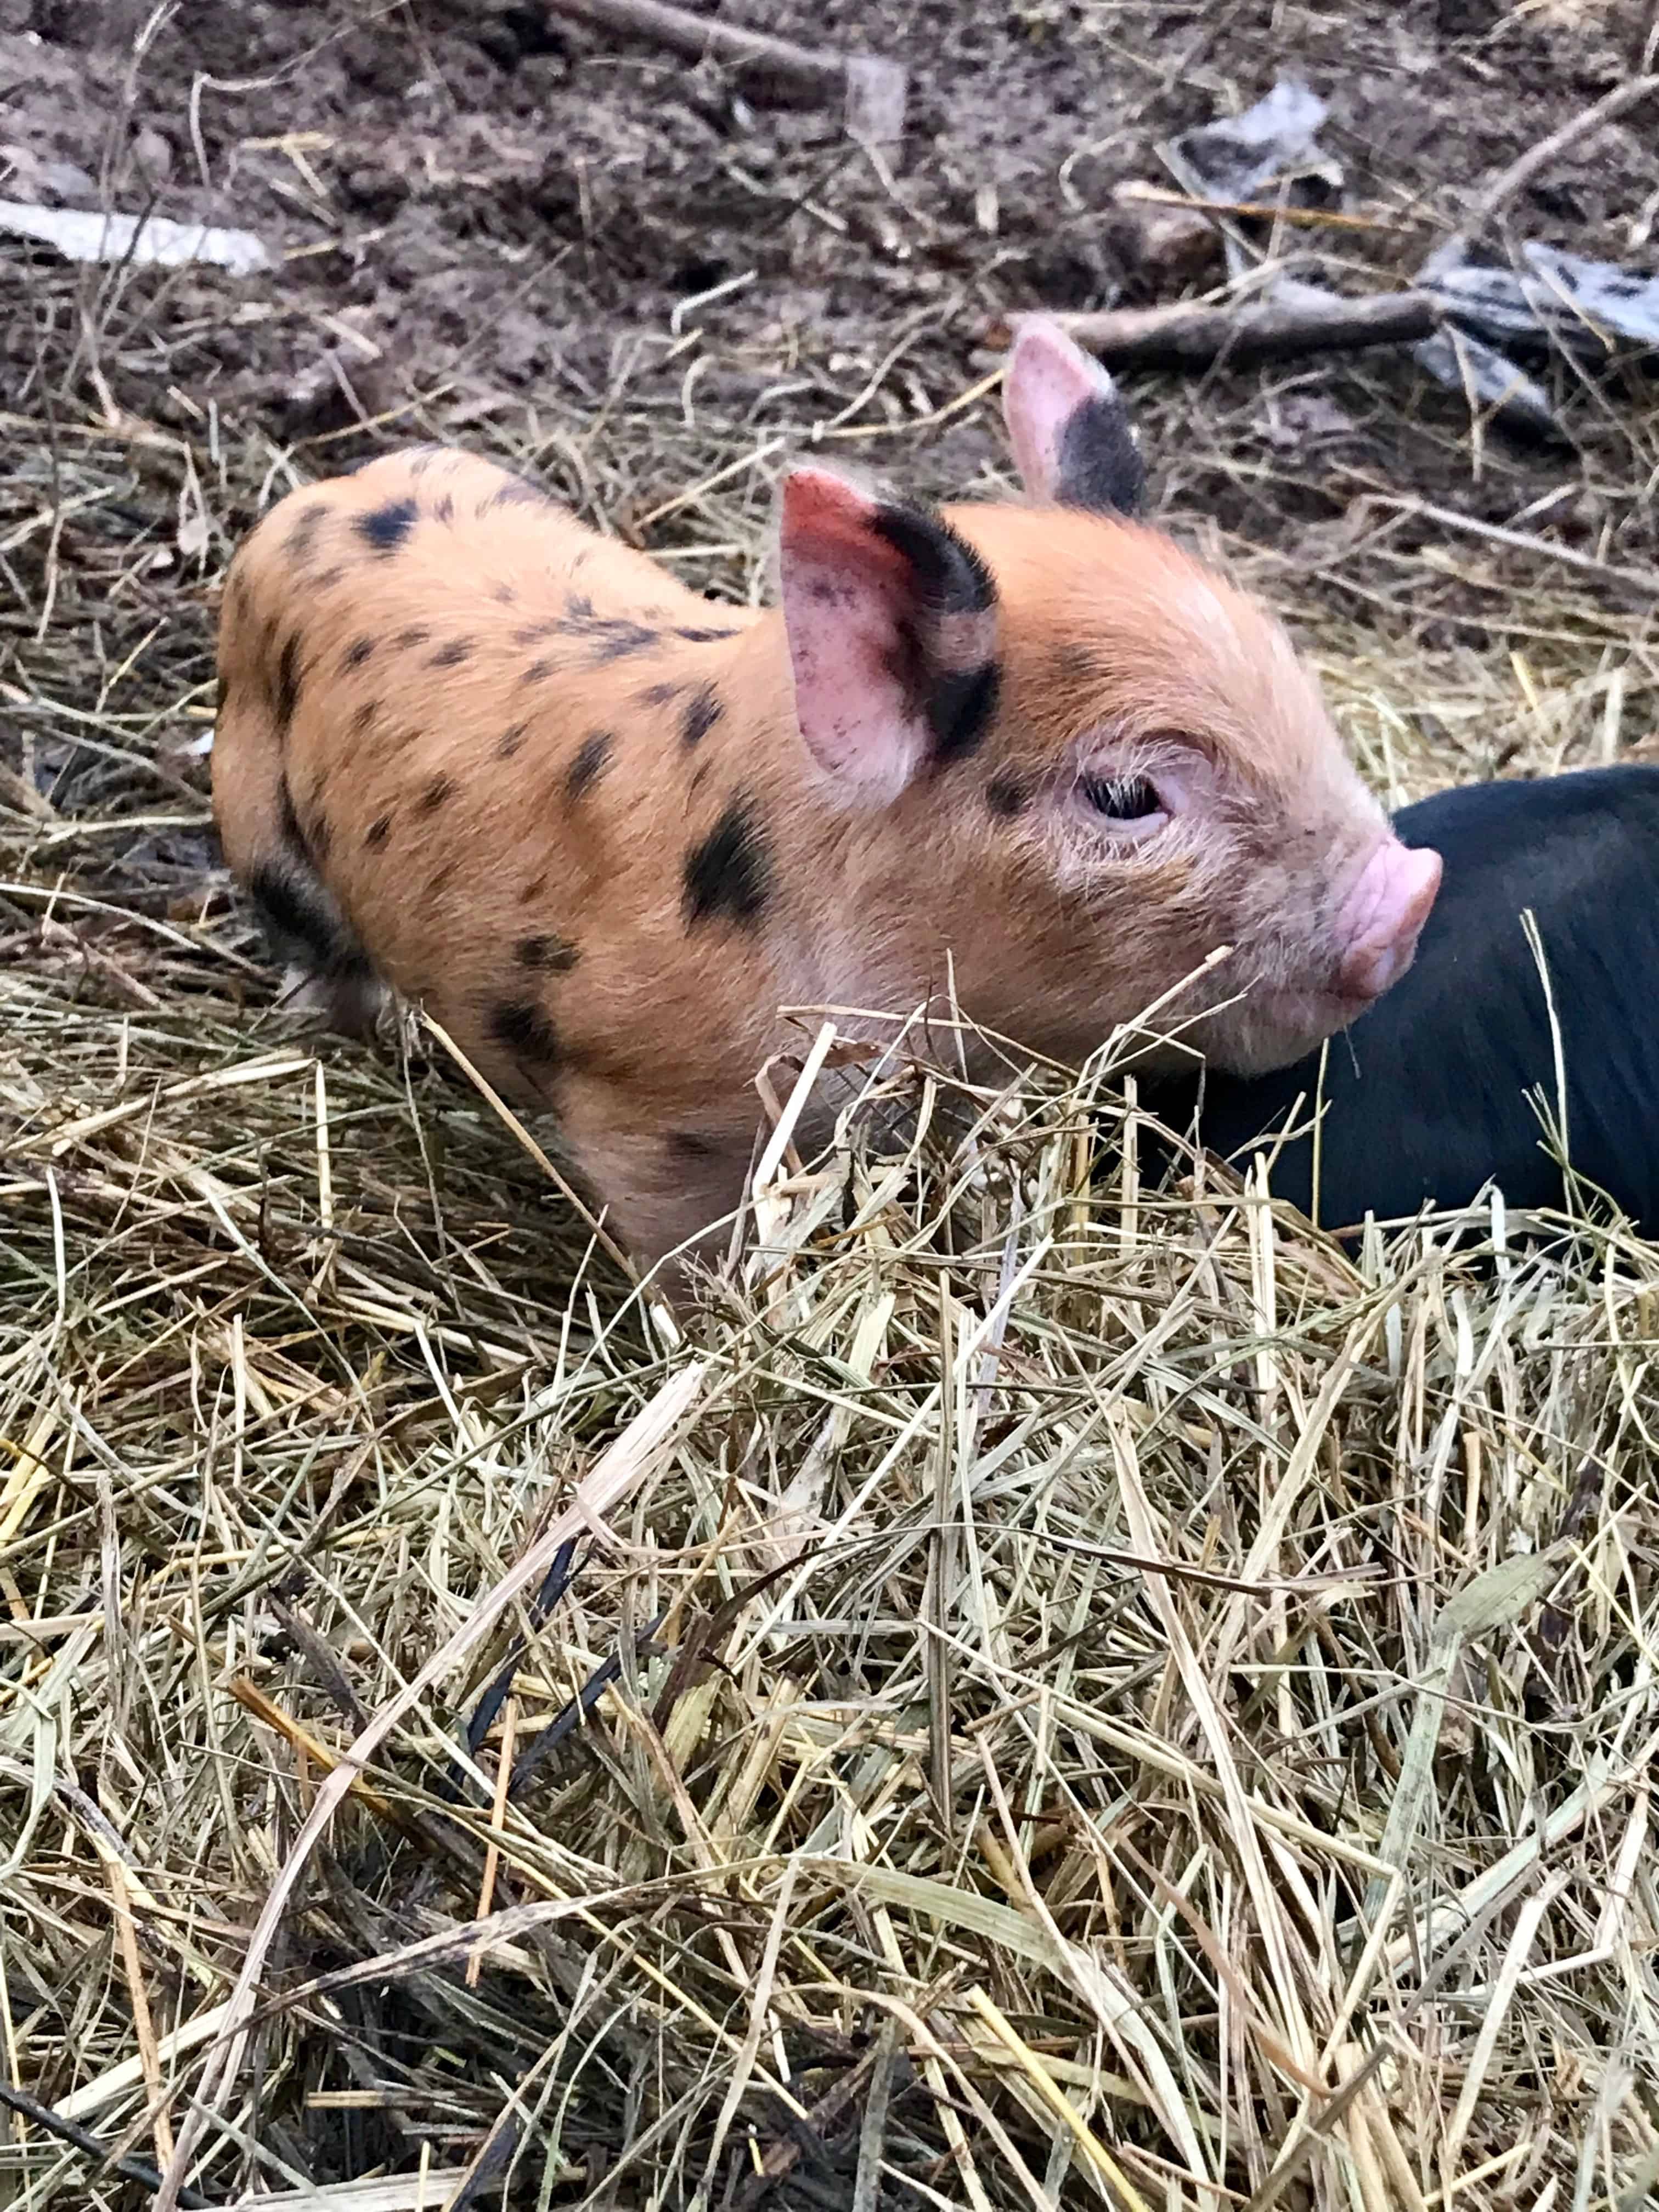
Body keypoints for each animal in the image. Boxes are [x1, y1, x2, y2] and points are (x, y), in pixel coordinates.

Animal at [211, 316, 1441, 1289]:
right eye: (1127, 792)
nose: (1412, 889)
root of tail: (315, 496)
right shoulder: (640, 1116)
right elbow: (687, 1257)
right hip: (258, 823)